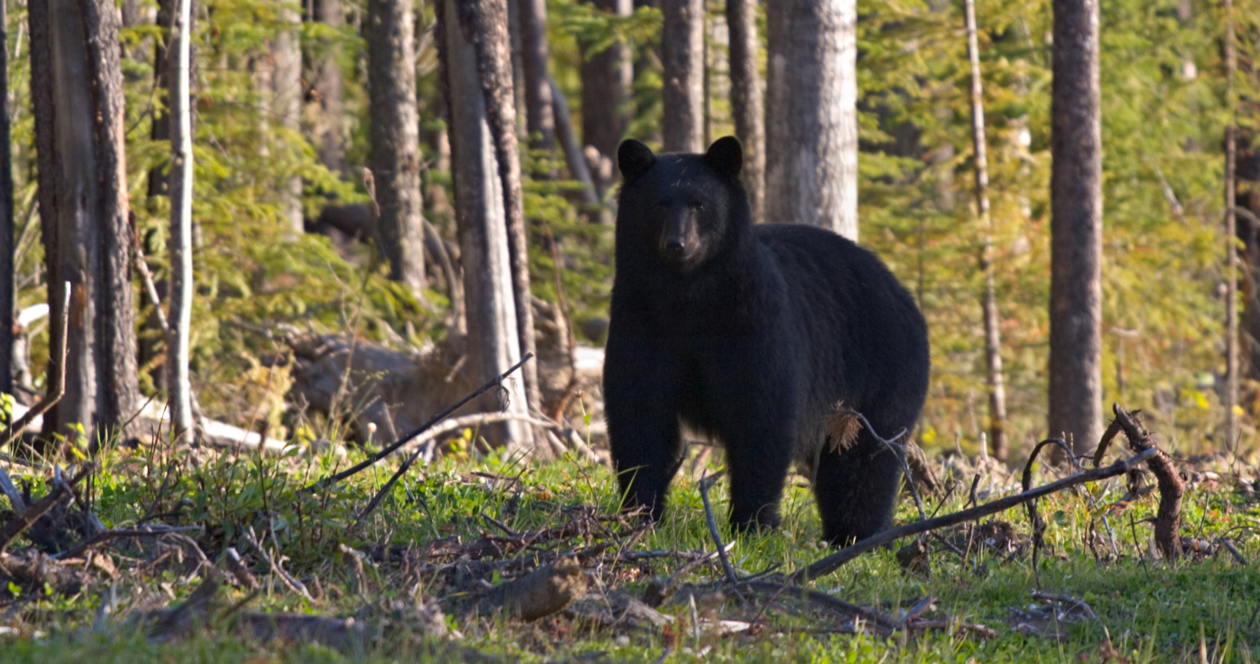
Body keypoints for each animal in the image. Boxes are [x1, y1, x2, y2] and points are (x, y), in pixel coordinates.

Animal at [603, 136, 930, 545]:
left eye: (700, 203)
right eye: (659, 203)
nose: (677, 244)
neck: (688, 299)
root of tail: (905, 296)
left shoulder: (754, 324)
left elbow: (761, 414)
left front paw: (751, 525)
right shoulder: (640, 320)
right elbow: (639, 412)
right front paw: (641, 514)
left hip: (881, 373)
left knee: (865, 463)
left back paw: (855, 534)